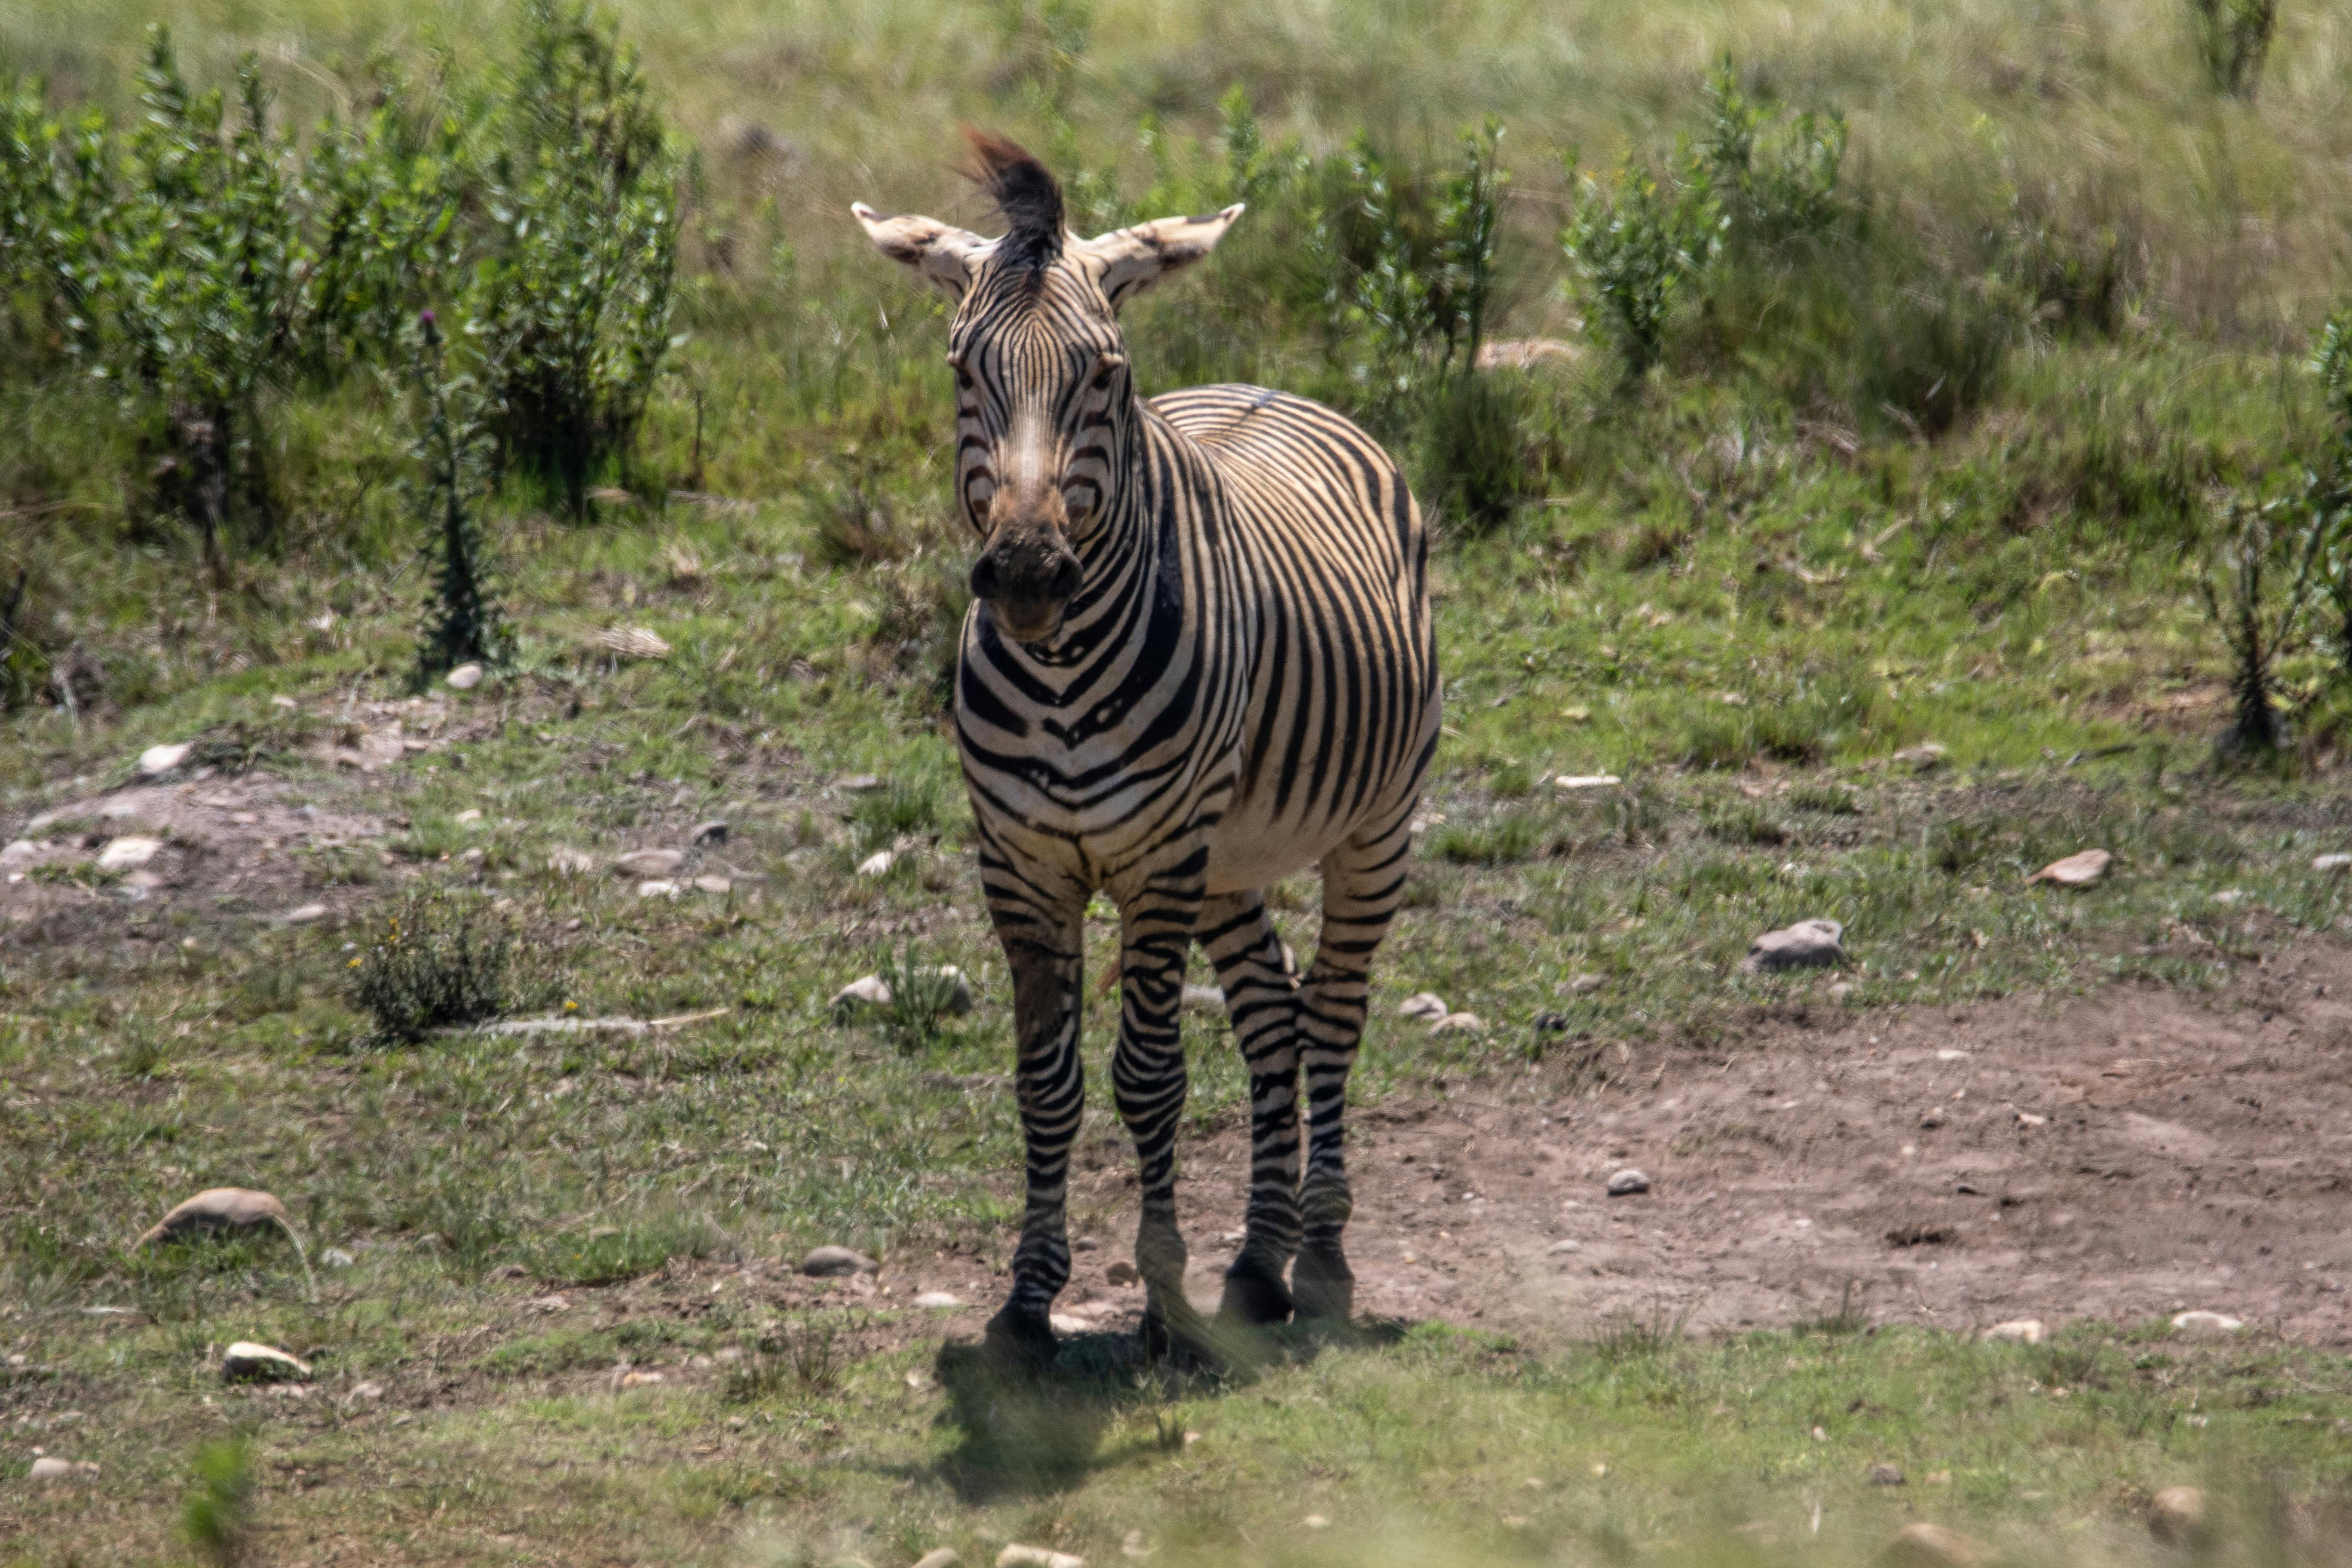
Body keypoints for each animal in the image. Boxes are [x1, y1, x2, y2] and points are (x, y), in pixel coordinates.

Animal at [853, 133, 1439, 1366]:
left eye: (1105, 375)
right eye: (959, 370)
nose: (1029, 574)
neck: (1064, 669)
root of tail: (1268, 387)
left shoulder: (1159, 864)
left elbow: (1150, 1078)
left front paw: (1163, 1303)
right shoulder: (1023, 869)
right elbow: (1047, 1083)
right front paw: (1029, 1301)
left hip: (1371, 828)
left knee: (1335, 1012)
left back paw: (1318, 1258)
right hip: (1229, 856)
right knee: (1271, 1017)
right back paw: (1258, 1264)